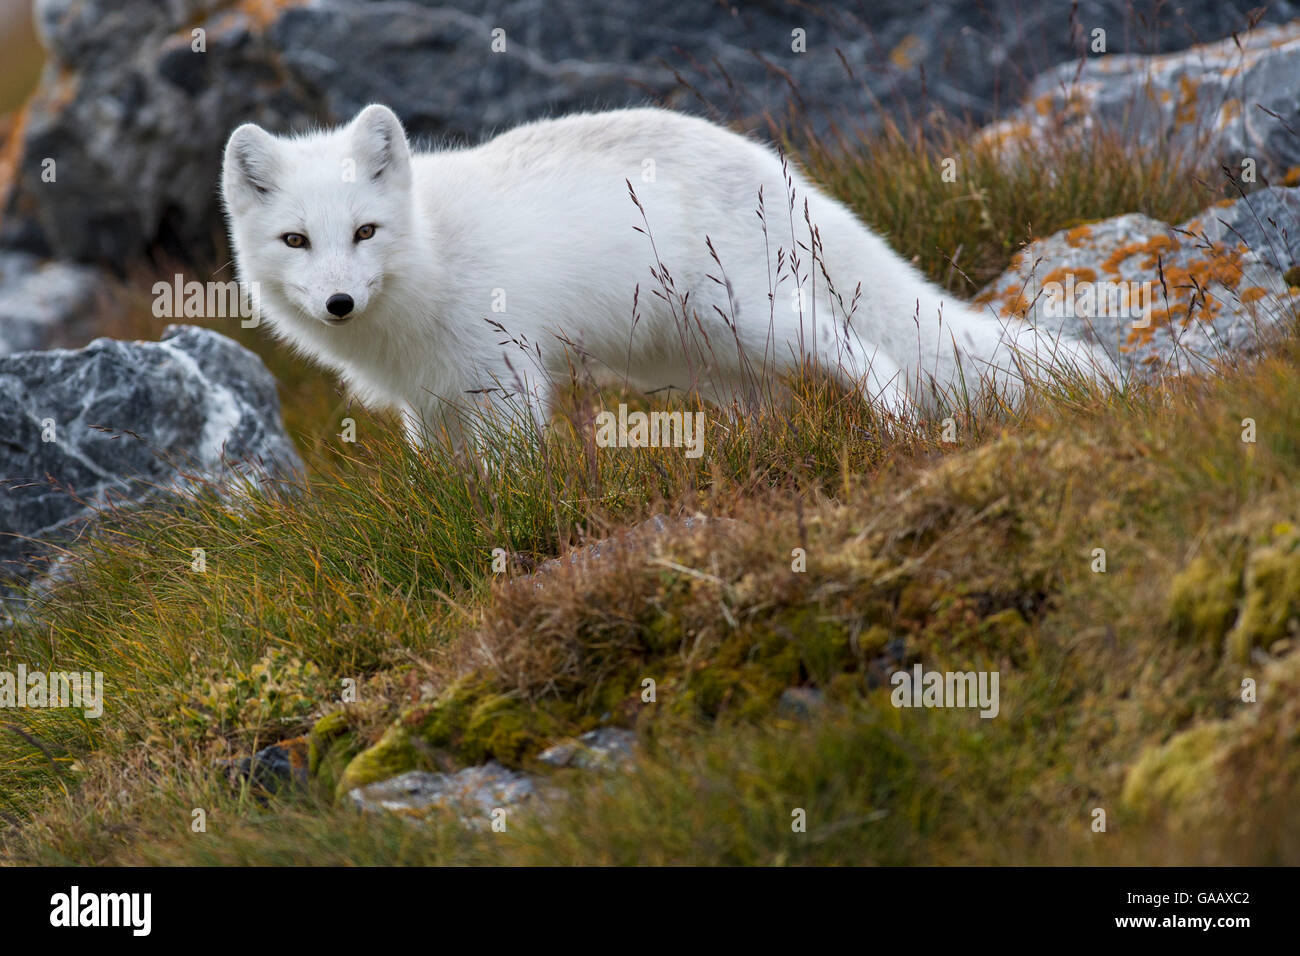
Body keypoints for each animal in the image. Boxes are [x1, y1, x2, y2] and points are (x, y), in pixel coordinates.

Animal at [221, 104, 1113, 449]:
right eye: (297, 241)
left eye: (365, 232)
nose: (339, 301)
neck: (433, 253)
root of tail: (775, 166)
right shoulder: (429, 402)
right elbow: (445, 481)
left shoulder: (506, 374)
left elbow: (511, 473)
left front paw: (503, 530)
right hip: (695, 355)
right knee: (775, 401)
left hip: (744, 315)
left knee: (865, 351)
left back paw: (894, 422)